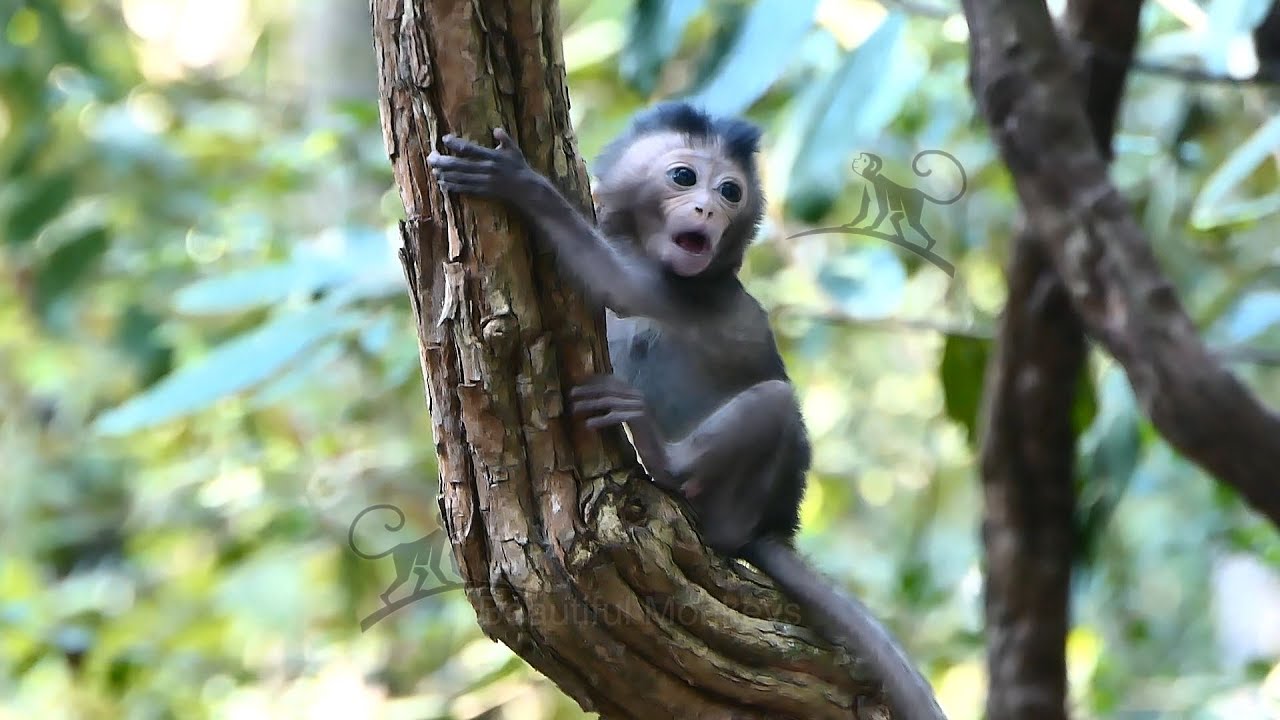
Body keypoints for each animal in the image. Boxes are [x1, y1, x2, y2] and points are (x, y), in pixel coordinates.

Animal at [427, 102, 947, 720]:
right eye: (683, 177)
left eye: (730, 191)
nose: (708, 209)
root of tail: (770, 527)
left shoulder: (679, 287)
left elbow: (621, 292)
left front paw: (520, 183)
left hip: (735, 501)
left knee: (774, 404)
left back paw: (660, 456)